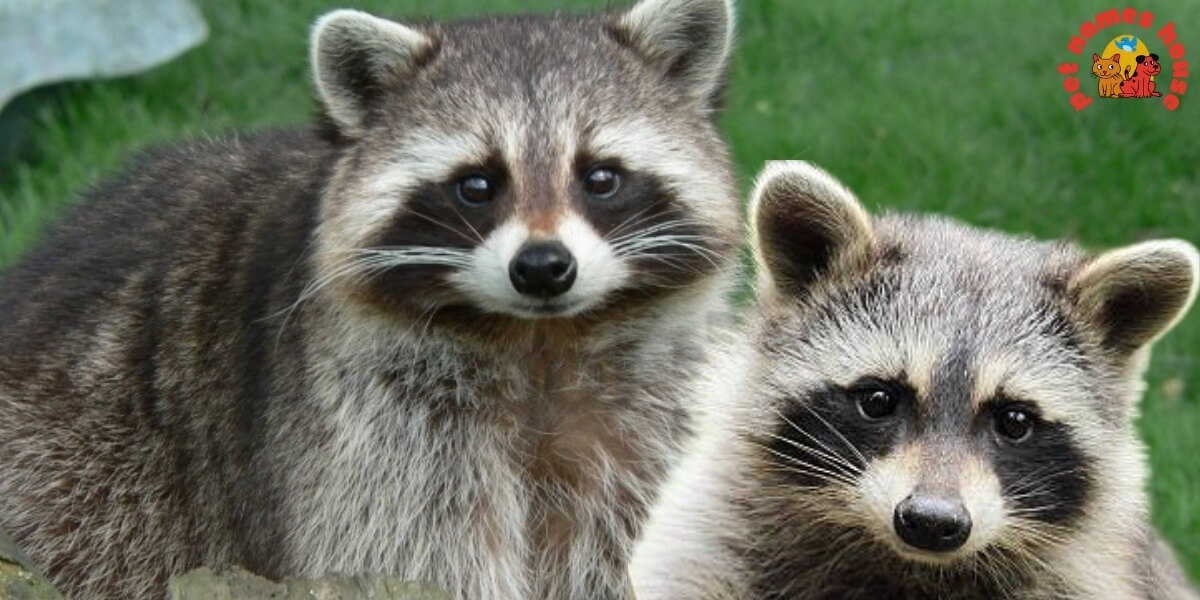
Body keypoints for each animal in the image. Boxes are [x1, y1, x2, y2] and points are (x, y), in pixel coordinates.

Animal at [0, 1, 740, 598]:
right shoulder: (376, 429)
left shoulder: (642, 414)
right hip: (82, 476)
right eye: (477, 185)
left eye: (601, 177)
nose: (543, 268)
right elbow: (414, 549)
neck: (540, 340)